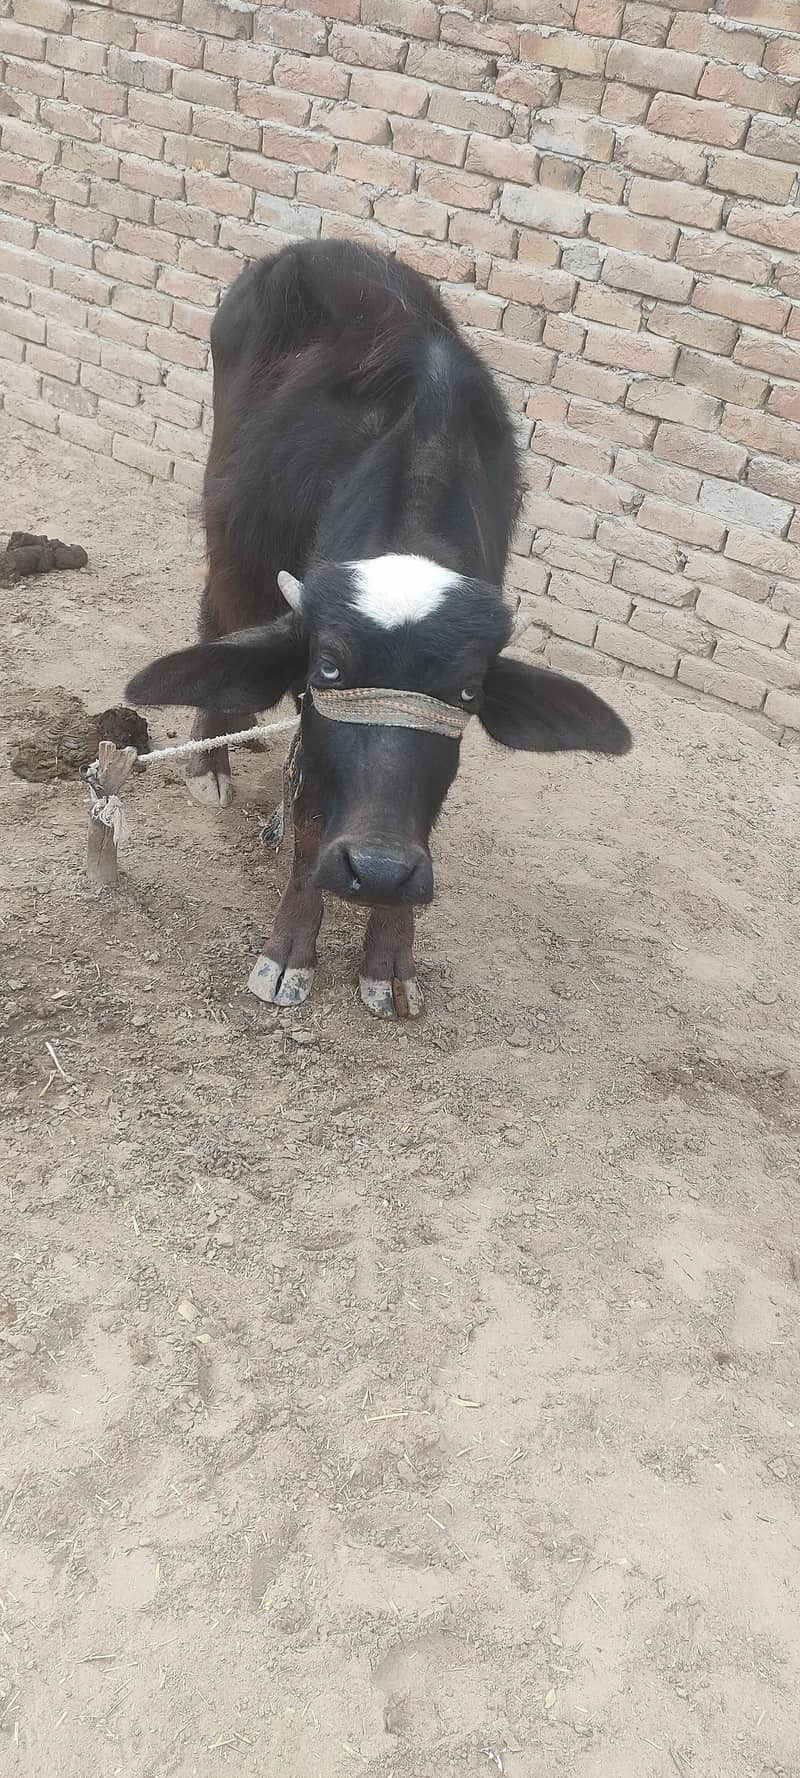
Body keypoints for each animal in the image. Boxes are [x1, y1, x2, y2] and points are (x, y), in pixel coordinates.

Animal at [127, 239, 631, 1020]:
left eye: (467, 692)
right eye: (328, 668)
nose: (379, 870)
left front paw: (391, 959)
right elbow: (309, 823)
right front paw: (288, 952)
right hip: (232, 529)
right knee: (219, 612)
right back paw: (211, 758)